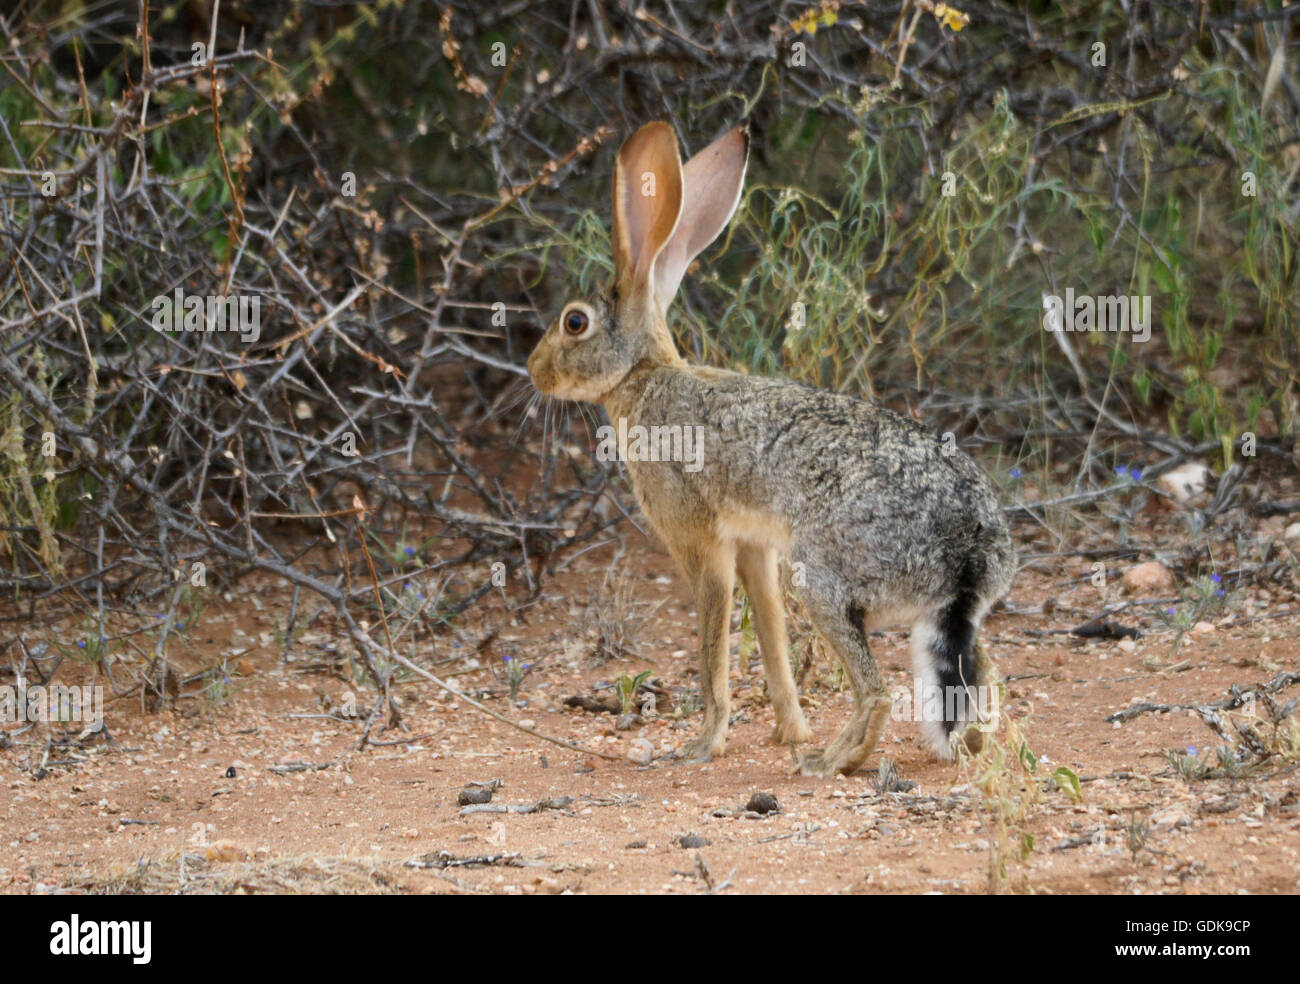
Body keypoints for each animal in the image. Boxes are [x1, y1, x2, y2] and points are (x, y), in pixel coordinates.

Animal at [527, 121, 1016, 775]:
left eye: (574, 323)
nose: (535, 371)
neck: (645, 377)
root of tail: (968, 551)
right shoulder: (755, 549)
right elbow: (772, 640)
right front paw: (790, 729)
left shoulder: (702, 543)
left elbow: (713, 650)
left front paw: (704, 745)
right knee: (976, 681)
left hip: (823, 577)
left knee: (877, 692)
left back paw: (830, 763)